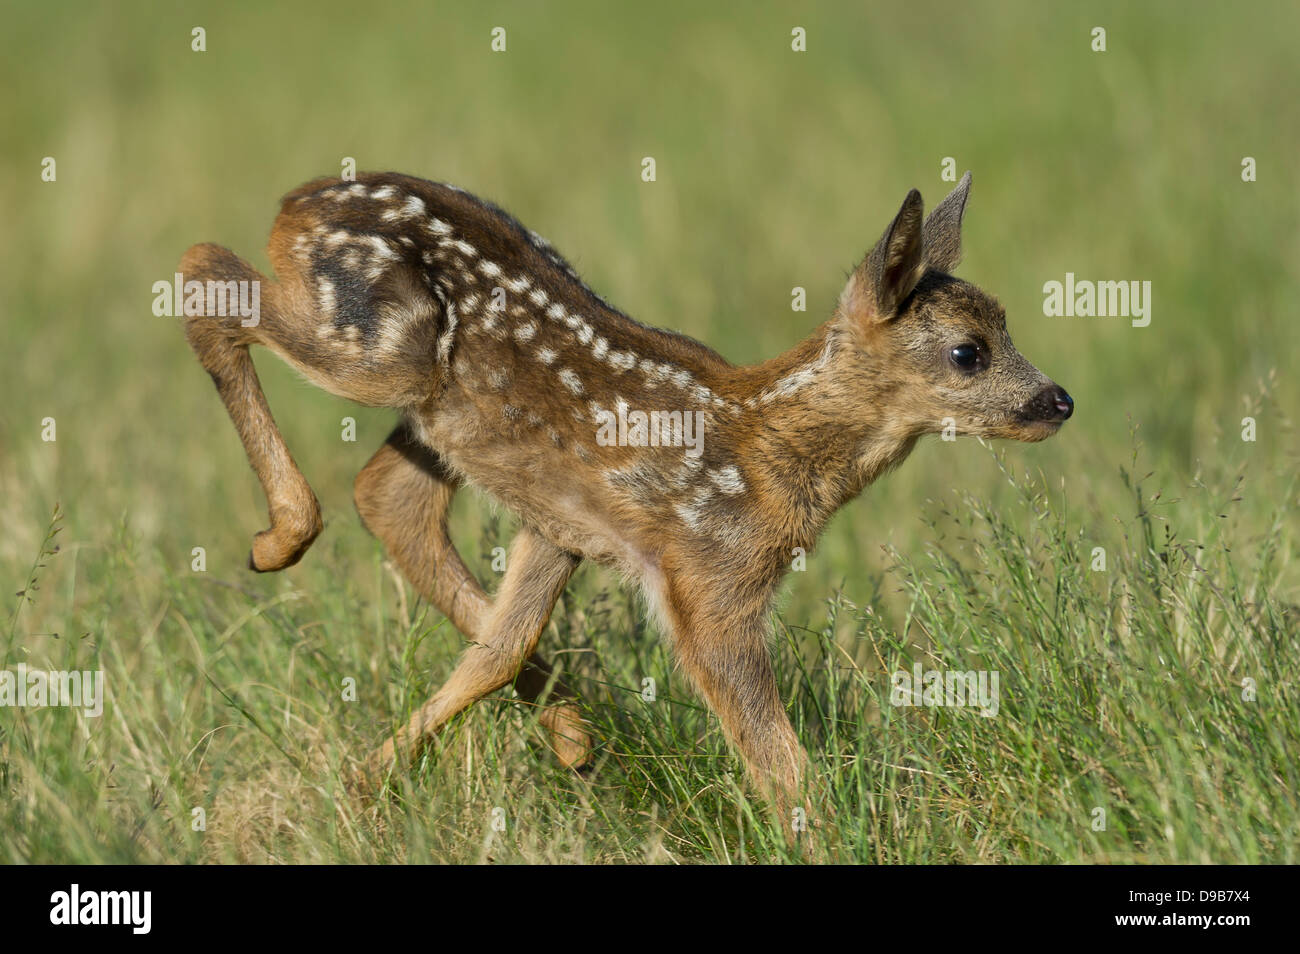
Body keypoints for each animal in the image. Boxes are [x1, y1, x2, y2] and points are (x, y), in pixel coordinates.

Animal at [178, 169, 1072, 837]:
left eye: (1008, 324)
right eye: (968, 351)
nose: (1059, 400)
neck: (773, 454)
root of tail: (299, 198)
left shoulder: (563, 522)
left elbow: (501, 648)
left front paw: (363, 784)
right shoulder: (714, 582)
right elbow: (777, 755)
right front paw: (826, 838)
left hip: (438, 411)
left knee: (389, 497)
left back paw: (563, 736)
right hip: (376, 346)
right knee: (204, 268)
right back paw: (280, 538)